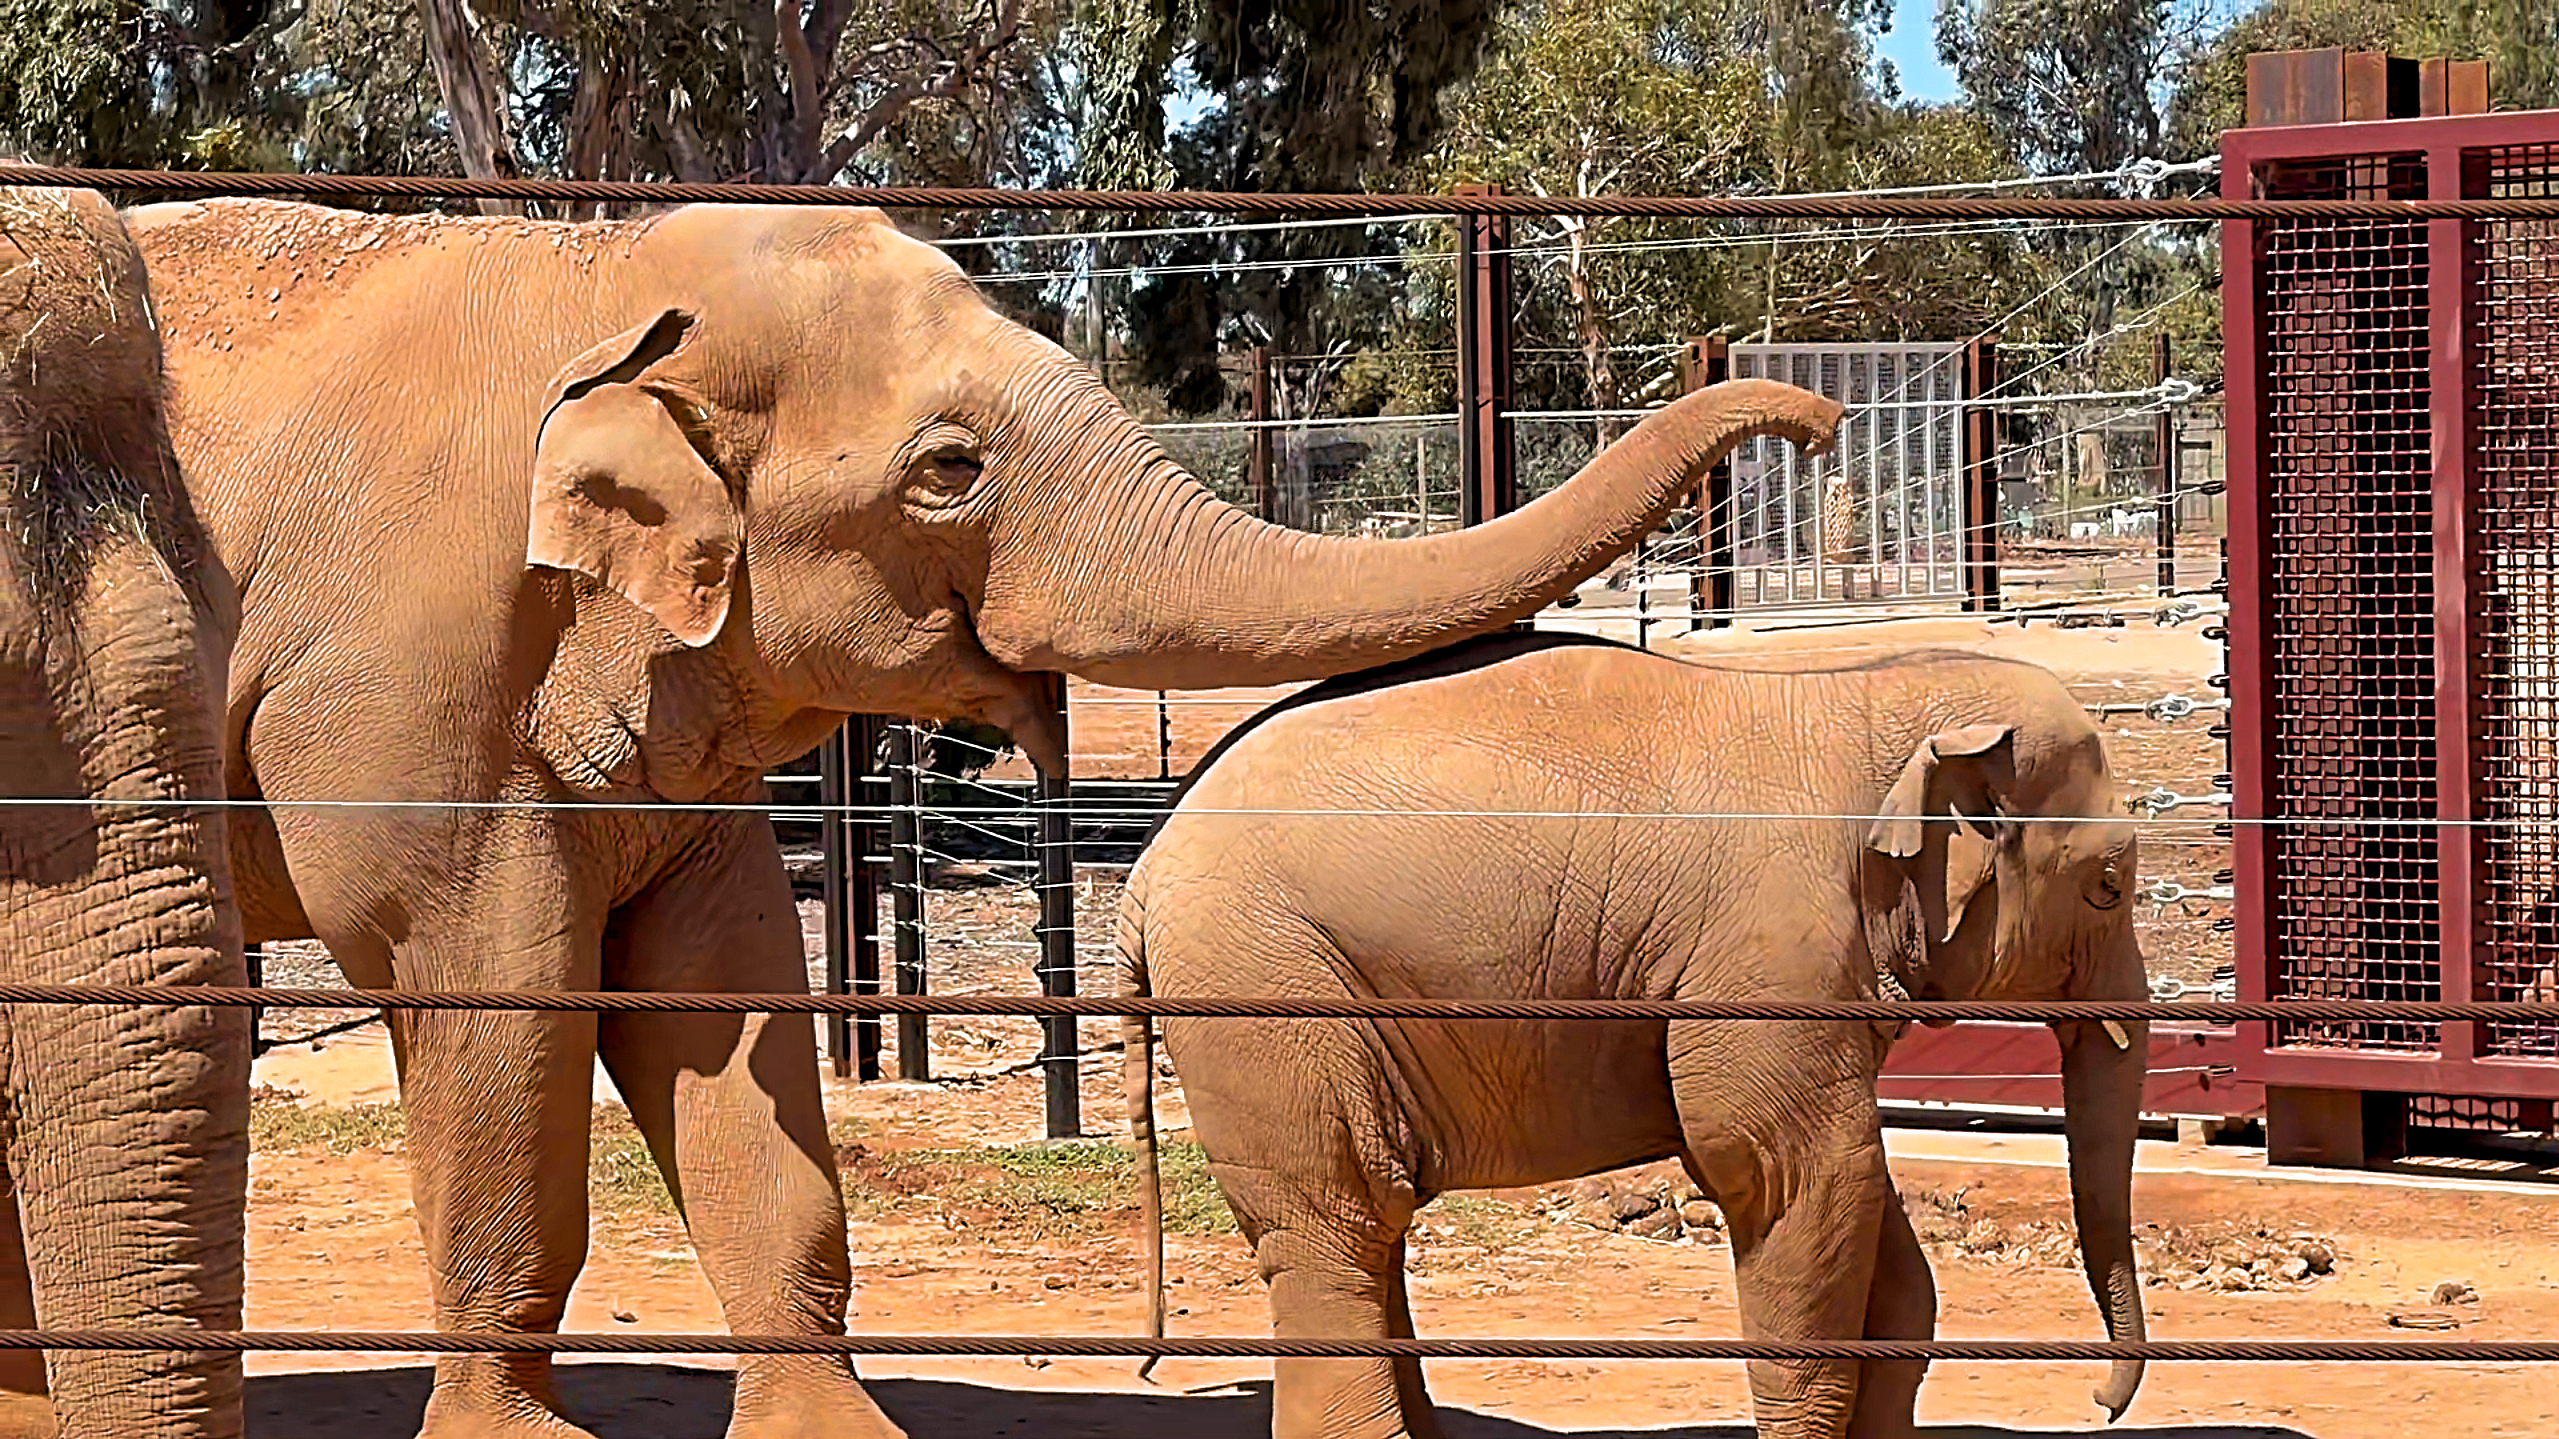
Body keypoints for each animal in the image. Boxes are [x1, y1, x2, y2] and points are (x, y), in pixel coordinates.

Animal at [97, 195, 1843, 1439]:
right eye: (947, 469)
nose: (1813, 419)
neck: (596, 267)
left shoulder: (680, 740)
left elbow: (725, 1002)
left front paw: (830, 1430)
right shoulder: (404, 683)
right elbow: (482, 986)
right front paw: (514, 1438)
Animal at [1119, 630, 2151, 1439]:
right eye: (2108, 883)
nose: (2099, 1403)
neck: (1863, 693)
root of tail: (1143, 870)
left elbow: (1858, 1198)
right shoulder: (1766, 956)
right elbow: (1787, 1171)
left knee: (1370, 1229)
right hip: (1267, 989)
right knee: (1336, 1220)